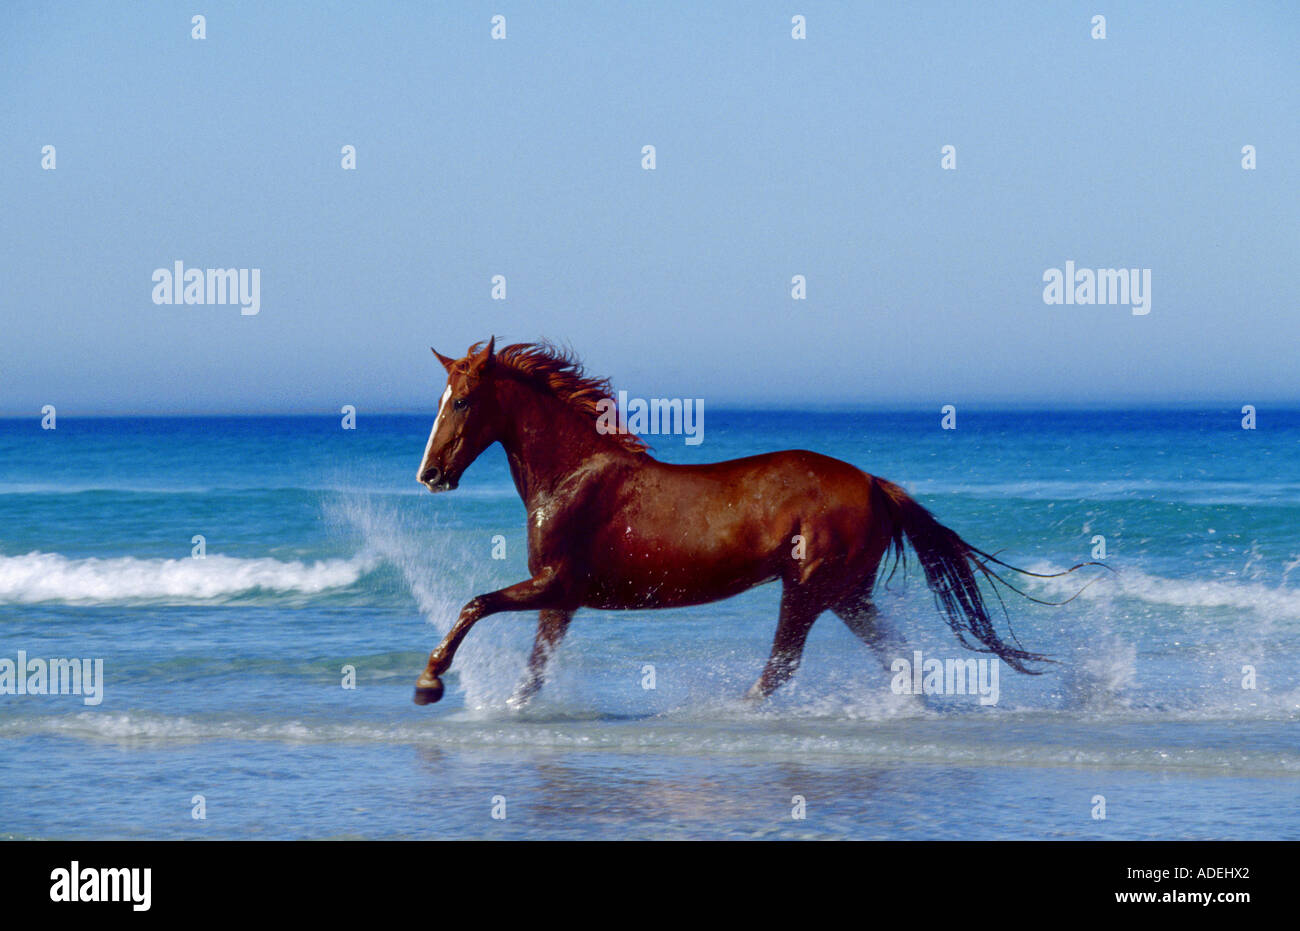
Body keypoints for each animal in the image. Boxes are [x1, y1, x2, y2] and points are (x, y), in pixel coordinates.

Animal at [412, 338, 1094, 707]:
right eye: (441, 399)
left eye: (463, 400)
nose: (429, 475)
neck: (574, 477)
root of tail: (873, 483)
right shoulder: (561, 600)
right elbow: (532, 671)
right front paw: (502, 704)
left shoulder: (558, 584)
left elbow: (476, 605)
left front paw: (429, 682)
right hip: (845, 593)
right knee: (895, 656)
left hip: (808, 588)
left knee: (781, 668)